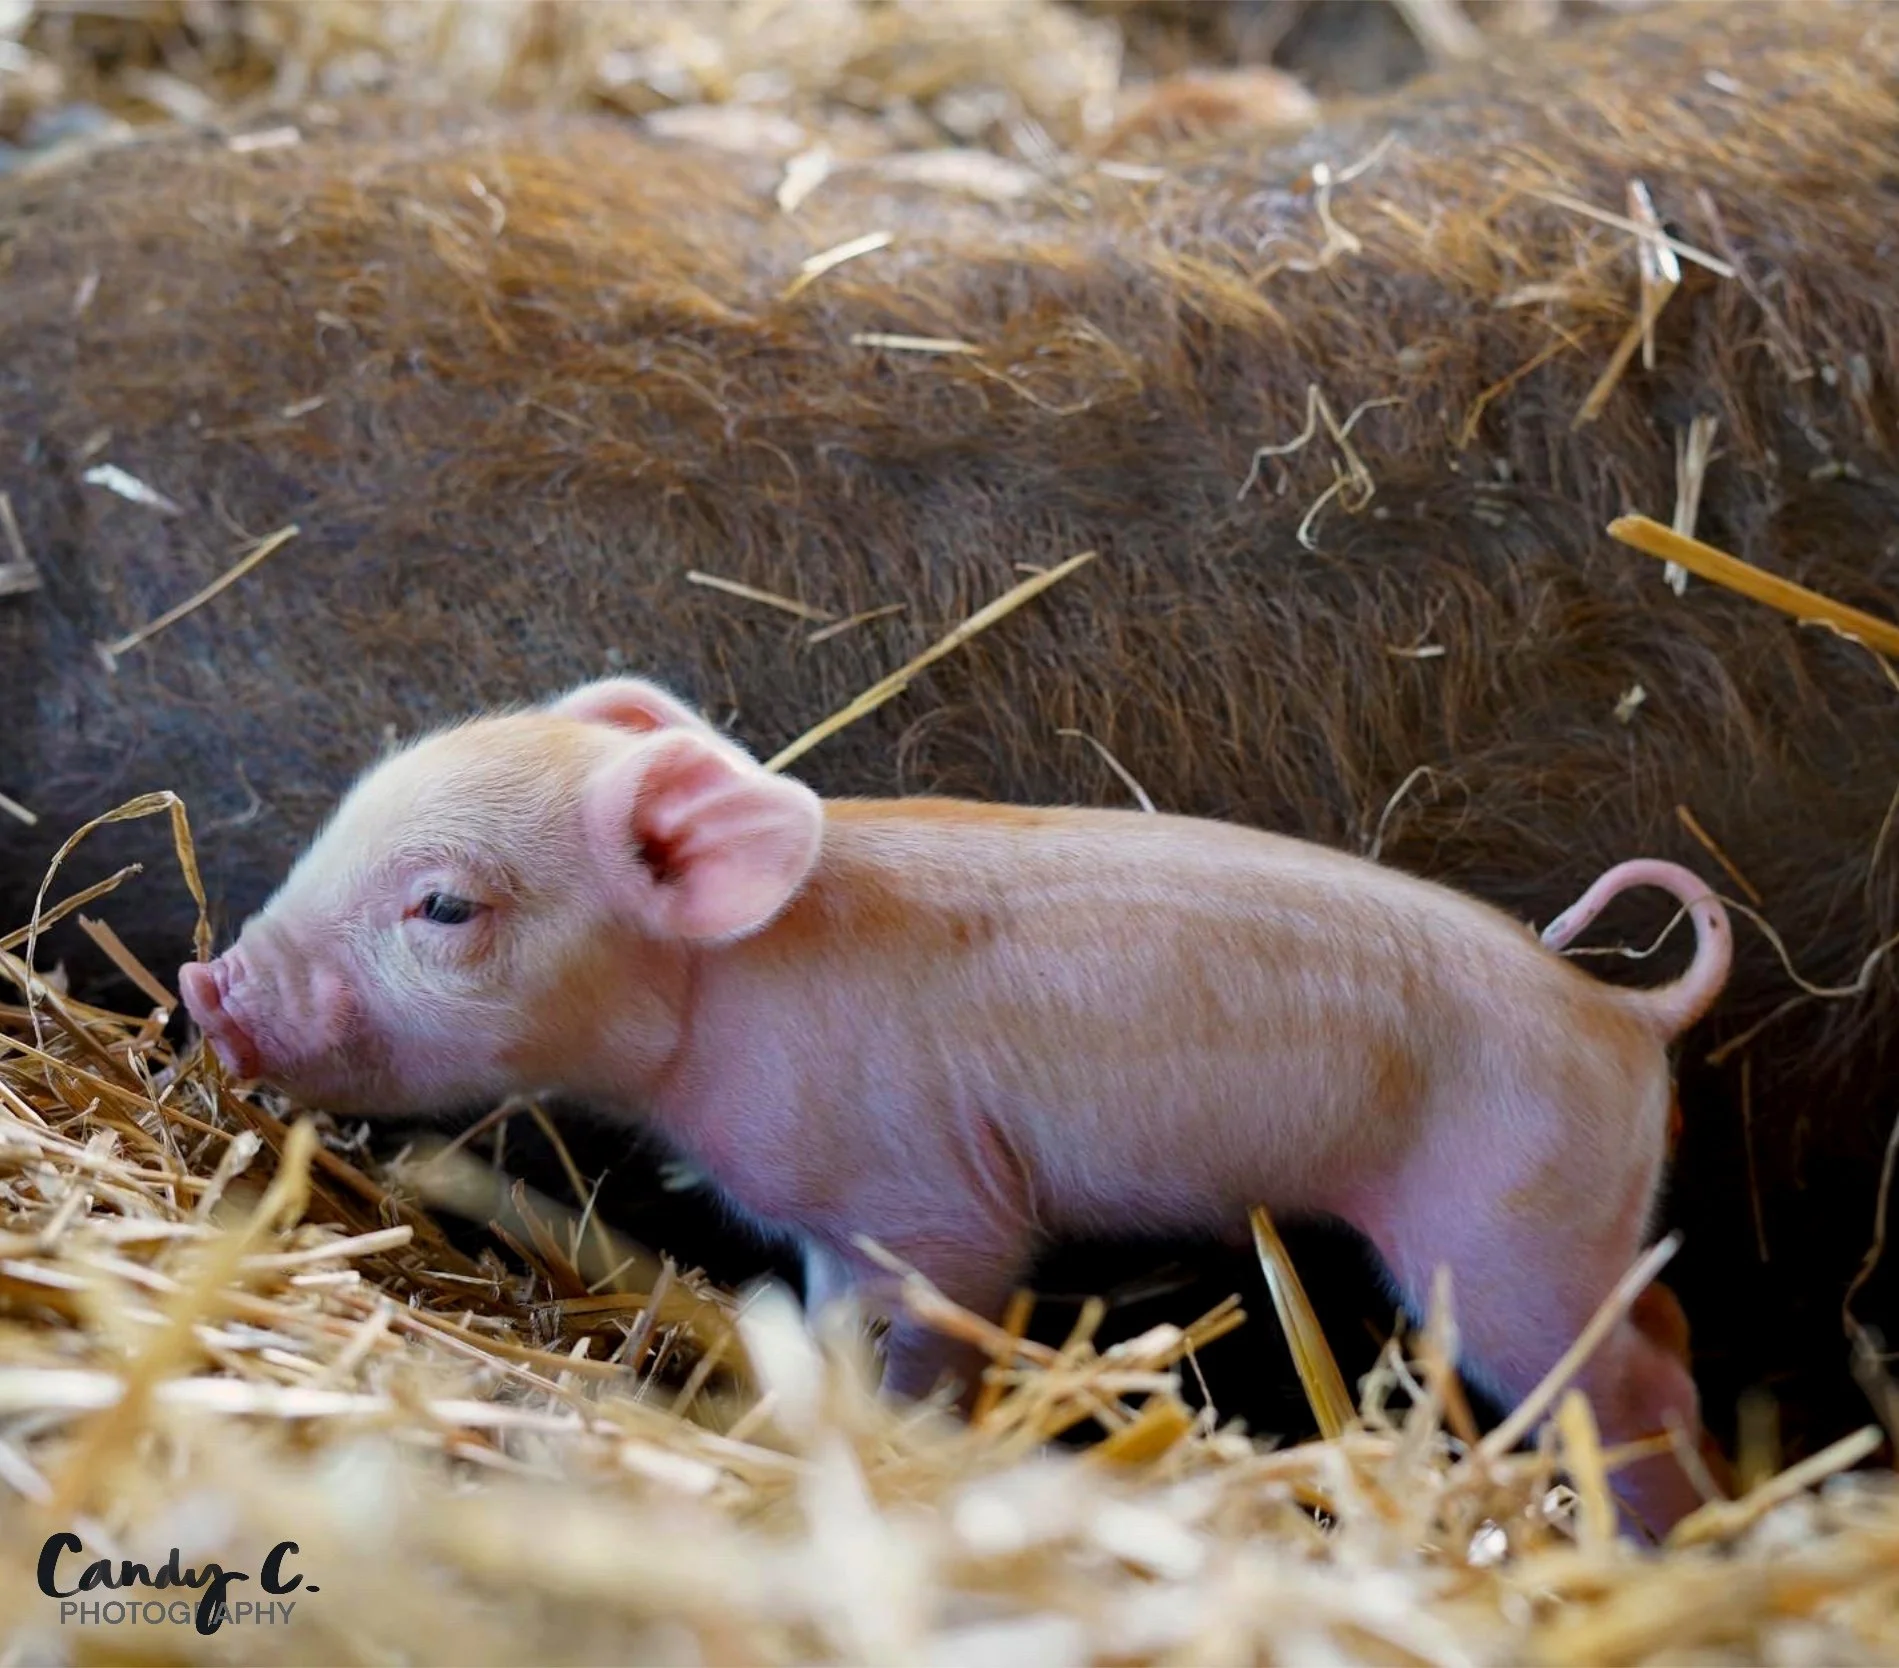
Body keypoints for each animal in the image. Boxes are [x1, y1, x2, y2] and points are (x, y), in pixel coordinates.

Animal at [180, 675, 1733, 1535]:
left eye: (445, 907)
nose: (205, 981)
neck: (721, 1000)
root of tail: (1623, 1014)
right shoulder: (824, 1232)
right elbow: (821, 1331)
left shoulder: (928, 1201)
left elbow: (940, 1323)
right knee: (1664, 1330)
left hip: (1504, 1227)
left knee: (1629, 1386)